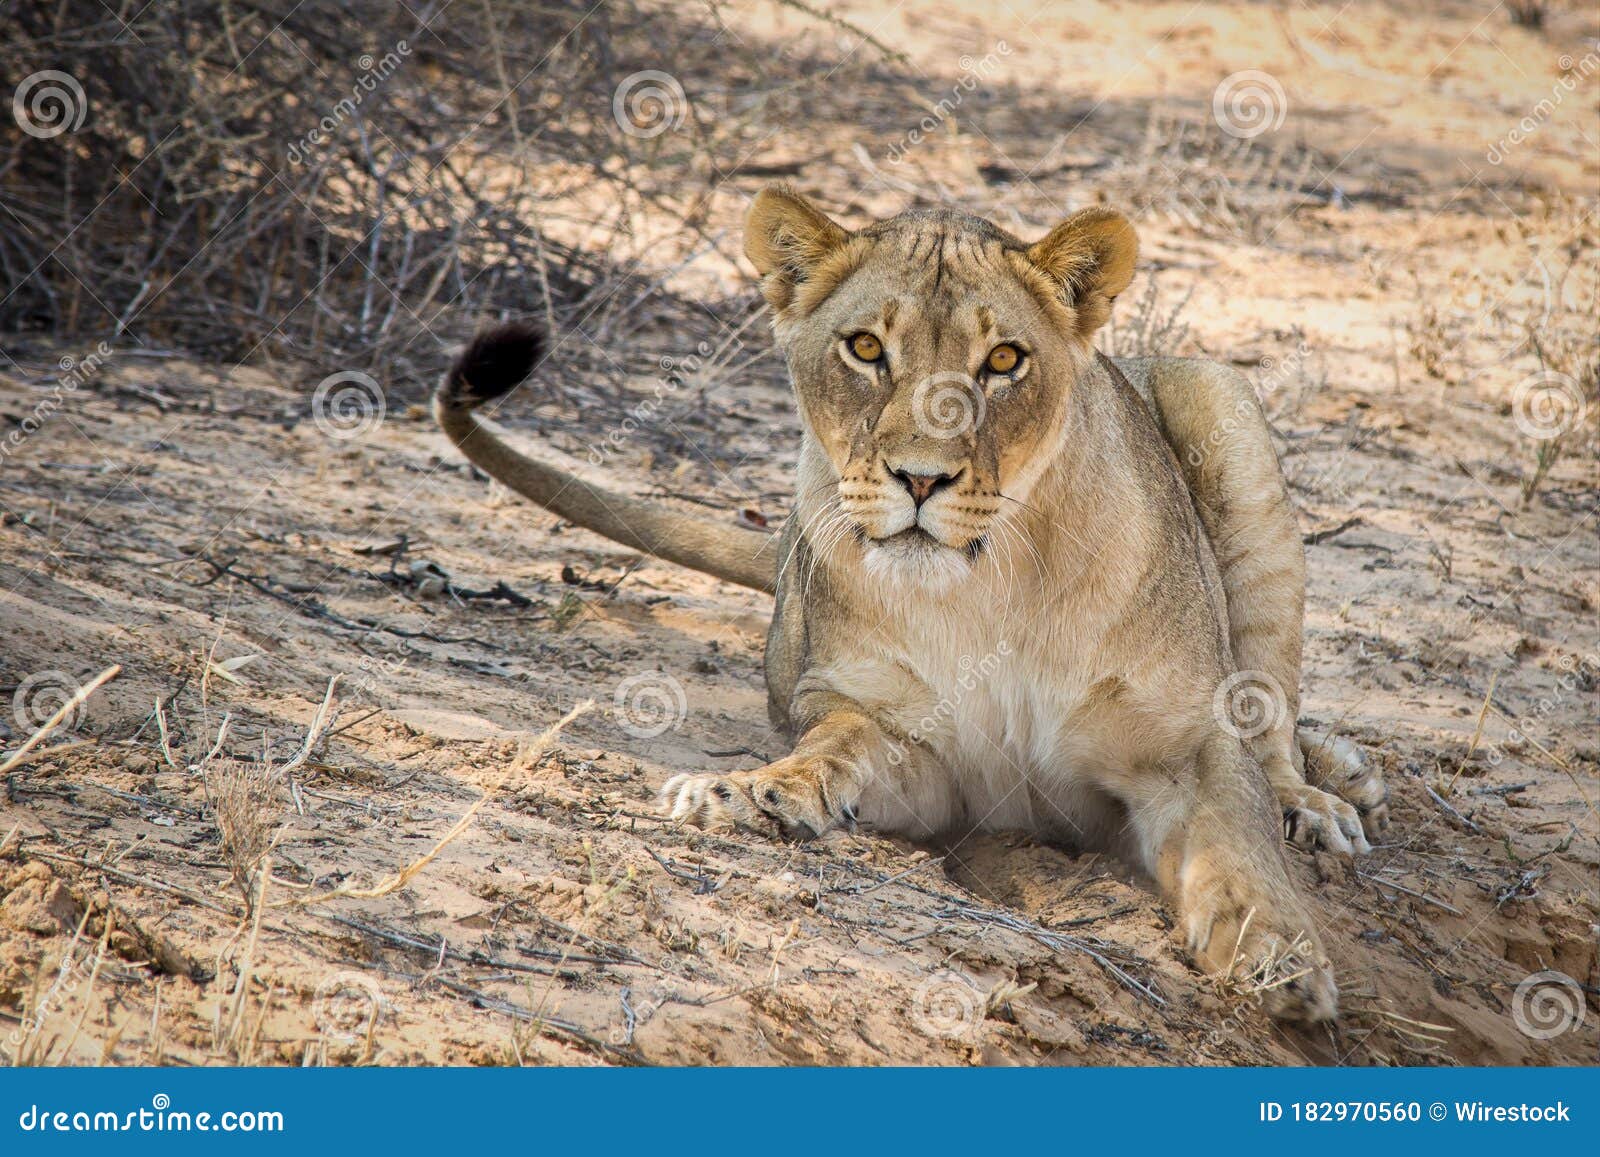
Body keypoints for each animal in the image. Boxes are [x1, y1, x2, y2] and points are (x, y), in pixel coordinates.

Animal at [434, 187, 1389, 1021]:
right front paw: (750, 794)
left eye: (1002, 361)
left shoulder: (1188, 741)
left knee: (1267, 710)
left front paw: (1280, 958)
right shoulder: (916, 747)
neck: (990, 588)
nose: (920, 479)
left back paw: (1322, 797)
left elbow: (1240, 847)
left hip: (1222, 409)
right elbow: (833, 748)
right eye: (865, 349)